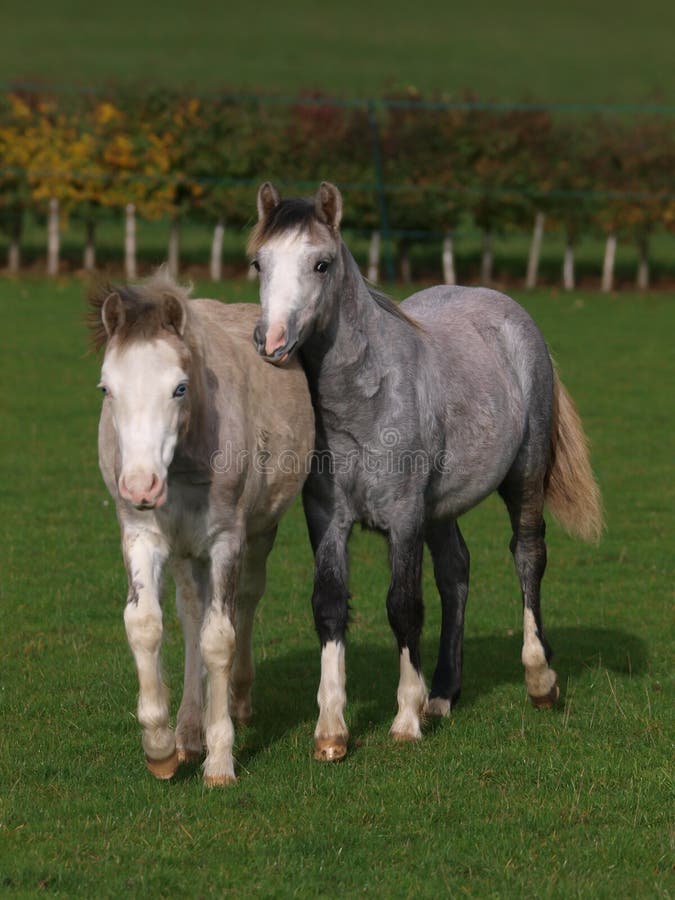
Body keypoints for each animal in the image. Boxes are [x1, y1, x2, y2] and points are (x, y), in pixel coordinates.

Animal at [89, 271, 314, 786]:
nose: (140, 485)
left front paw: (220, 761)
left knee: (244, 601)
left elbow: (220, 638)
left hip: (258, 533)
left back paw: (237, 701)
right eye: (107, 389)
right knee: (191, 613)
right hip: (185, 552)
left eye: (179, 388)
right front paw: (160, 748)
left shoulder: (227, 540)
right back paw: (189, 732)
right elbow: (145, 624)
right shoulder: (143, 535)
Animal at [248, 181, 603, 762]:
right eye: (259, 262)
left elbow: (403, 607)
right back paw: (443, 693)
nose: (272, 341)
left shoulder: (405, 517)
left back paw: (539, 679)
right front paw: (332, 731)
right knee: (455, 574)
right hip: (443, 510)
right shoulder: (326, 518)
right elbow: (329, 605)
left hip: (523, 477)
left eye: (322, 264)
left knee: (528, 555)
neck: (365, 399)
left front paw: (405, 719)